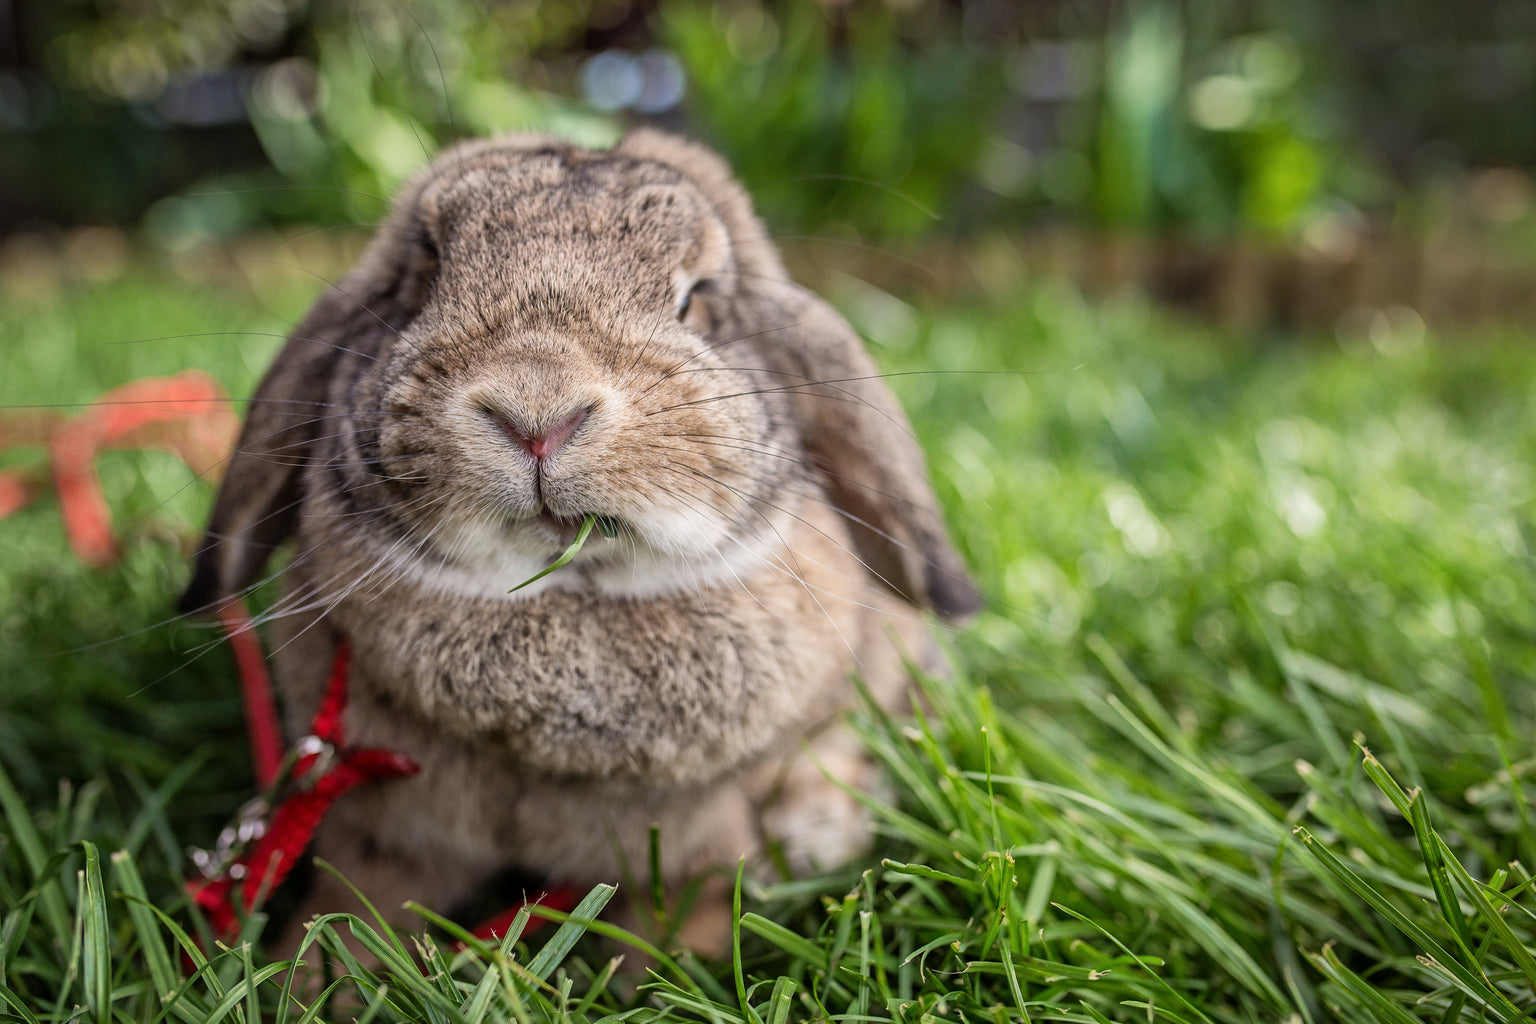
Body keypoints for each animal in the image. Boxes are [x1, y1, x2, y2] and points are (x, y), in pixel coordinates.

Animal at [179, 129, 981, 955]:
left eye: (696, 299)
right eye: (425, 272)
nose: (538, 412)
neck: (565, 596)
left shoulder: (699, 845)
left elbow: (673, 928)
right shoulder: (386, 831)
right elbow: (355, 906)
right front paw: (312, 971)